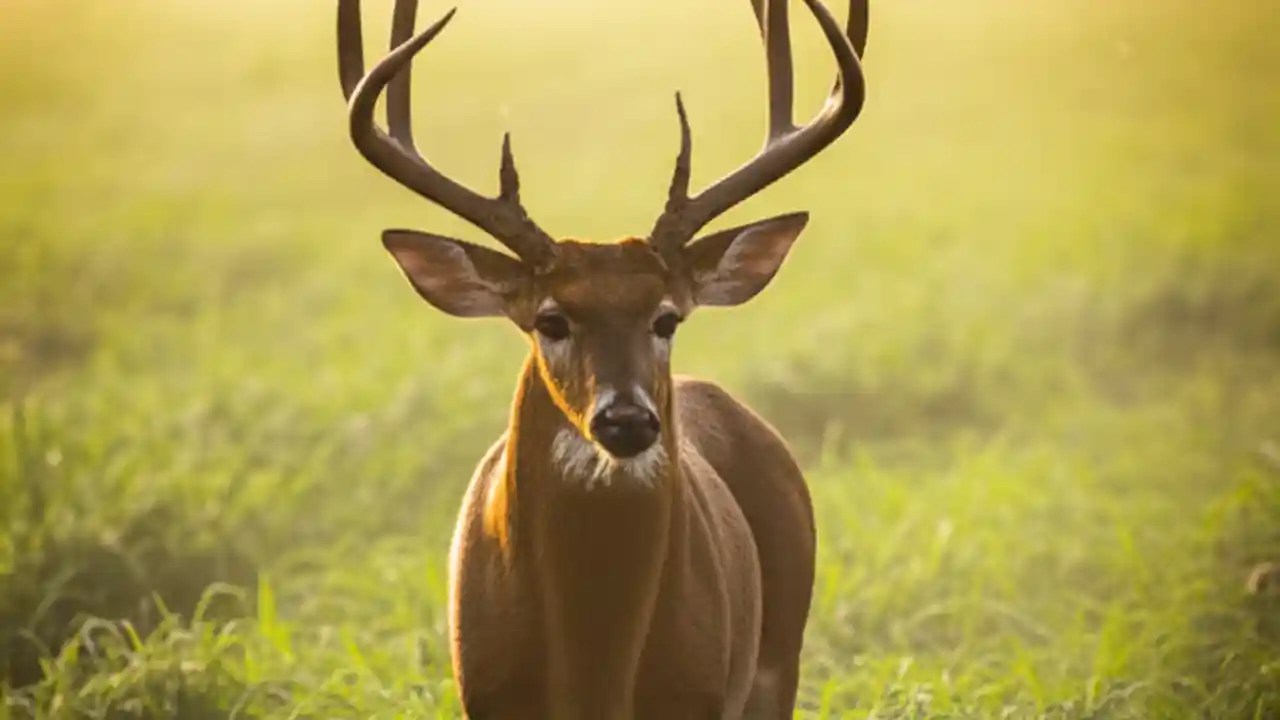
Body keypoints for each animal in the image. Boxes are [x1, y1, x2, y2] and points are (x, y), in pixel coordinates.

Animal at [337, 0, 867, 716]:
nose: (627, 419)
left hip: (780, 651)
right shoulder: (484, 695)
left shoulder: (698, 695)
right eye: (550, 320)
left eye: (666, 317)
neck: (594, 674)